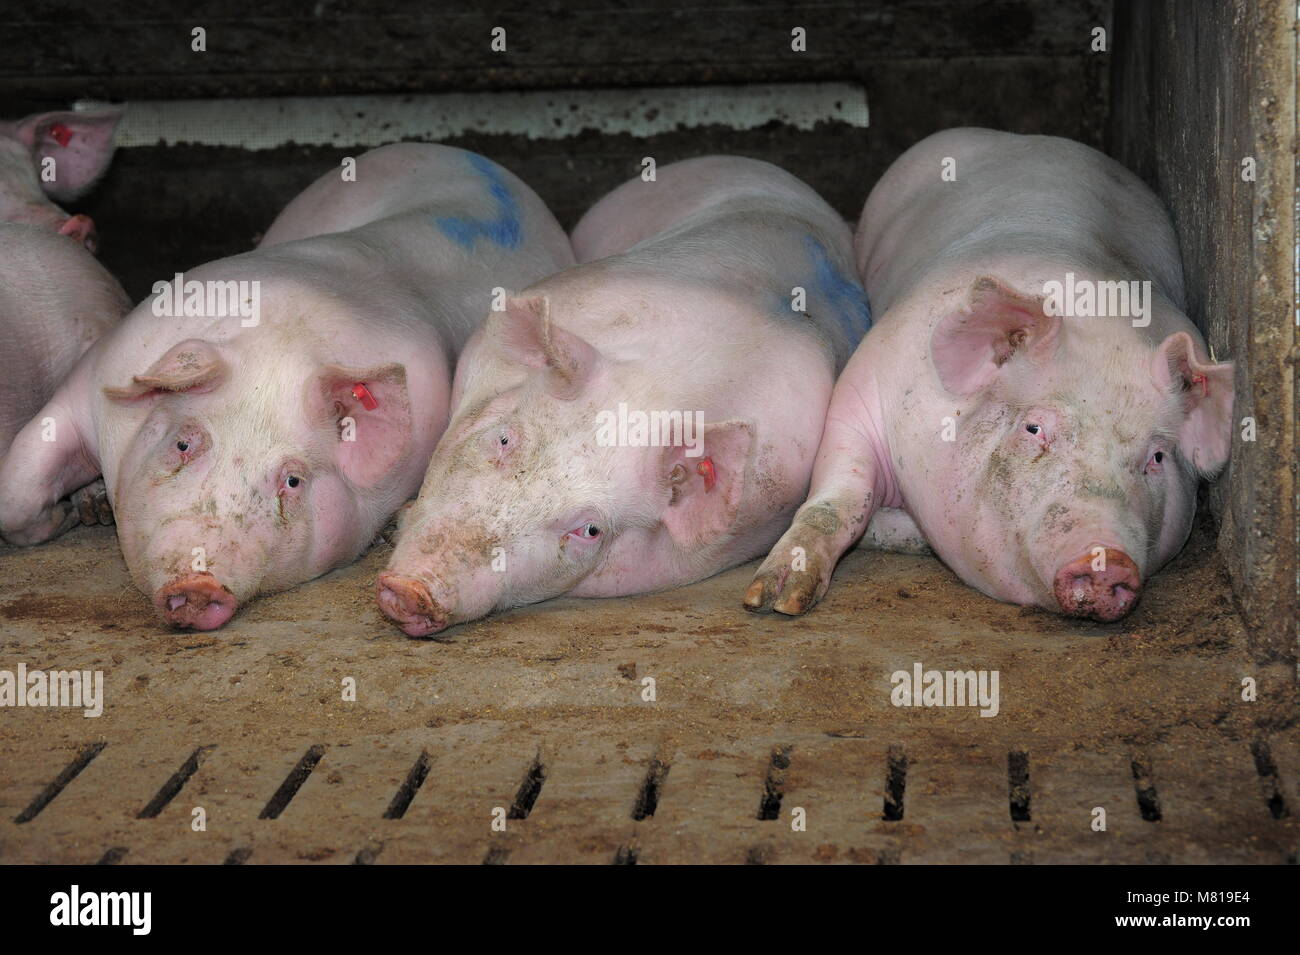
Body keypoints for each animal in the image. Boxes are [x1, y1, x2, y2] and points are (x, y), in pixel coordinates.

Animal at [0, 143, 574, 630]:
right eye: (183, 442)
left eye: (293, 480)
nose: (199, 585)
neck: (279, 342)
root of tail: (458, 152)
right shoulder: (97, 374)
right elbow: (18, 485)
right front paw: (64, 515)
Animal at [743, 128, 1234, 623]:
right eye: (1033, 428)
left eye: (1157, 457)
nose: (1105, 560)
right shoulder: (865, 390)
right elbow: (836, 505)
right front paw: (772, 599)